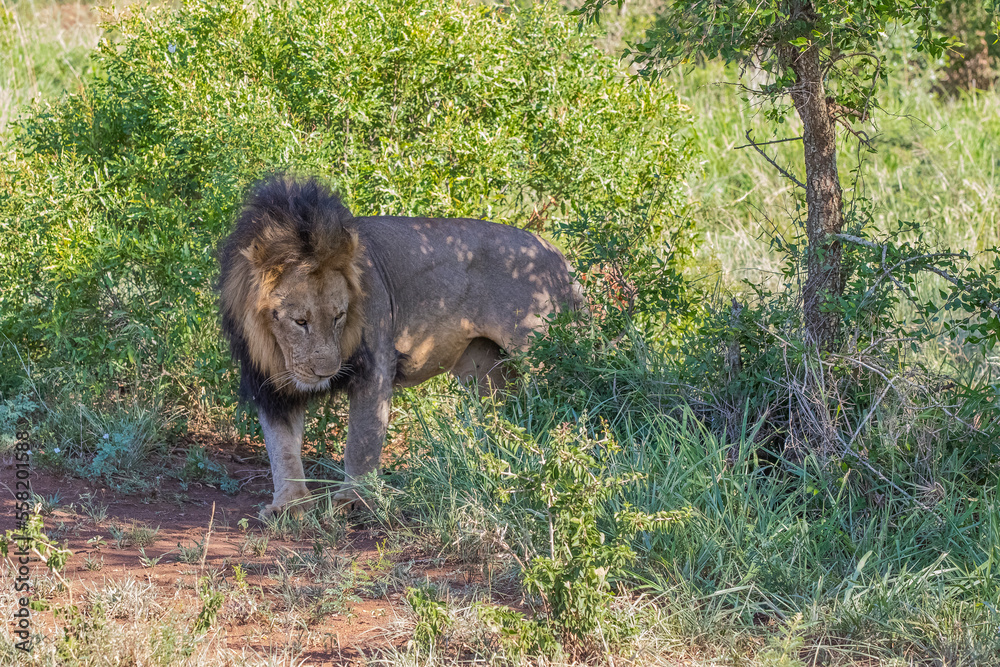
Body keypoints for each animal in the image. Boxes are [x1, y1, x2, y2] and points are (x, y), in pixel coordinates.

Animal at [218, 176, 583, 517]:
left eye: (339, 316)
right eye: (300, 321)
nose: (326, 372)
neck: (277, 349)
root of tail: (561, 259)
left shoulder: (374, 367)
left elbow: (362, 440)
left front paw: (355, 500)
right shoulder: (268, 384)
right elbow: (281, 448)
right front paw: (289, 505)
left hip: (543, 357)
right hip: (486, 368)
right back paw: (493, 468)